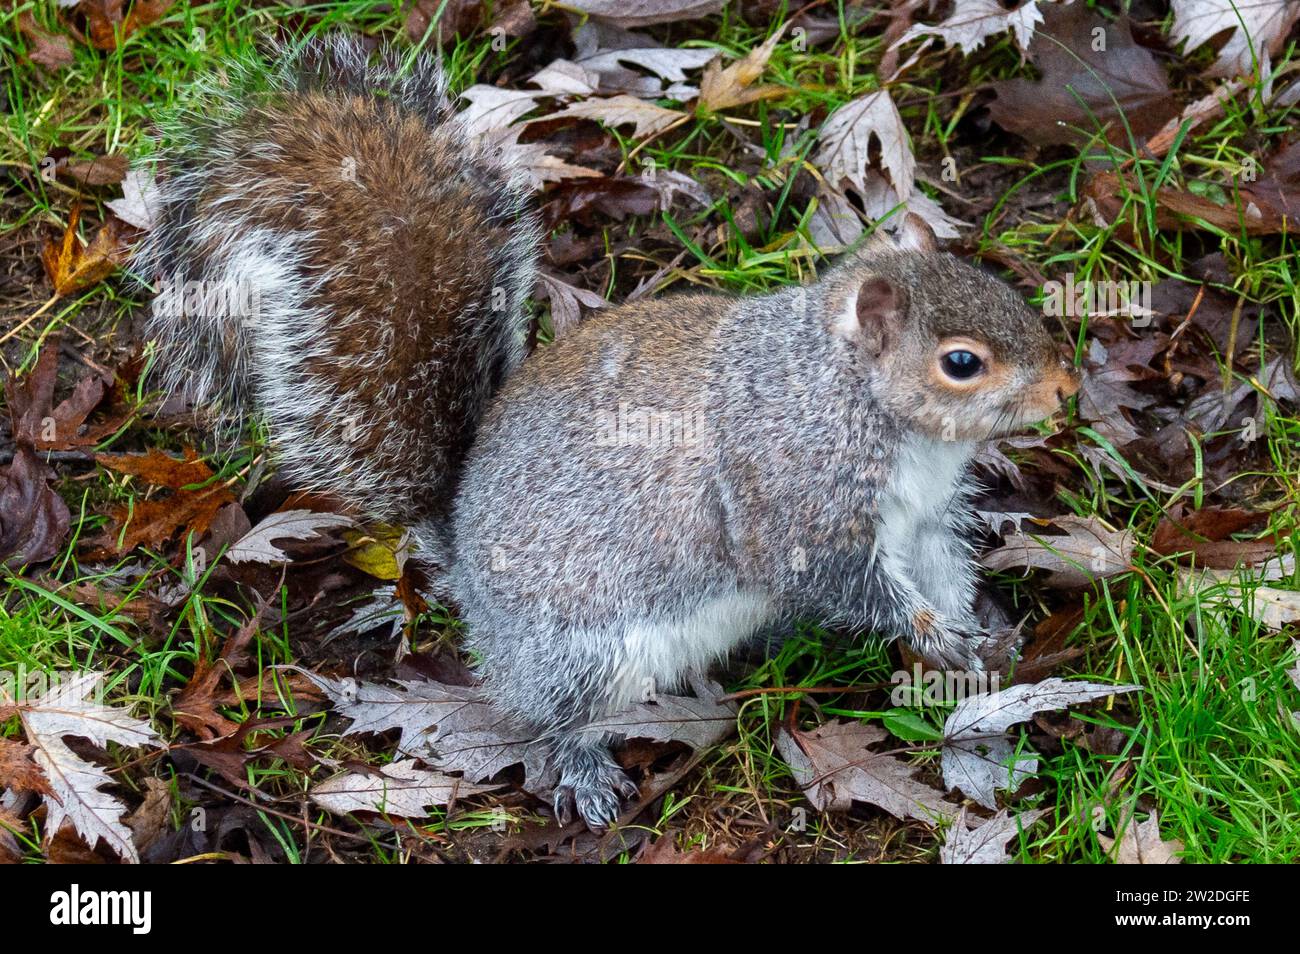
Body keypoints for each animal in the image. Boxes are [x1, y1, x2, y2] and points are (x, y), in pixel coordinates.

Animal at [131, 34, 1081, 828]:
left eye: (1003, 291)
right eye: (961, 362)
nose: (1066, 387)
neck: (869, 408)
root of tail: (463, 554)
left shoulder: (922, 516)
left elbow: (940, 563)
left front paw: (976, 634)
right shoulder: (796, 499)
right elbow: (843, 581)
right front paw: (933, 633)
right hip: (580, 650)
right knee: (553, 717)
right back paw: (585, 770)